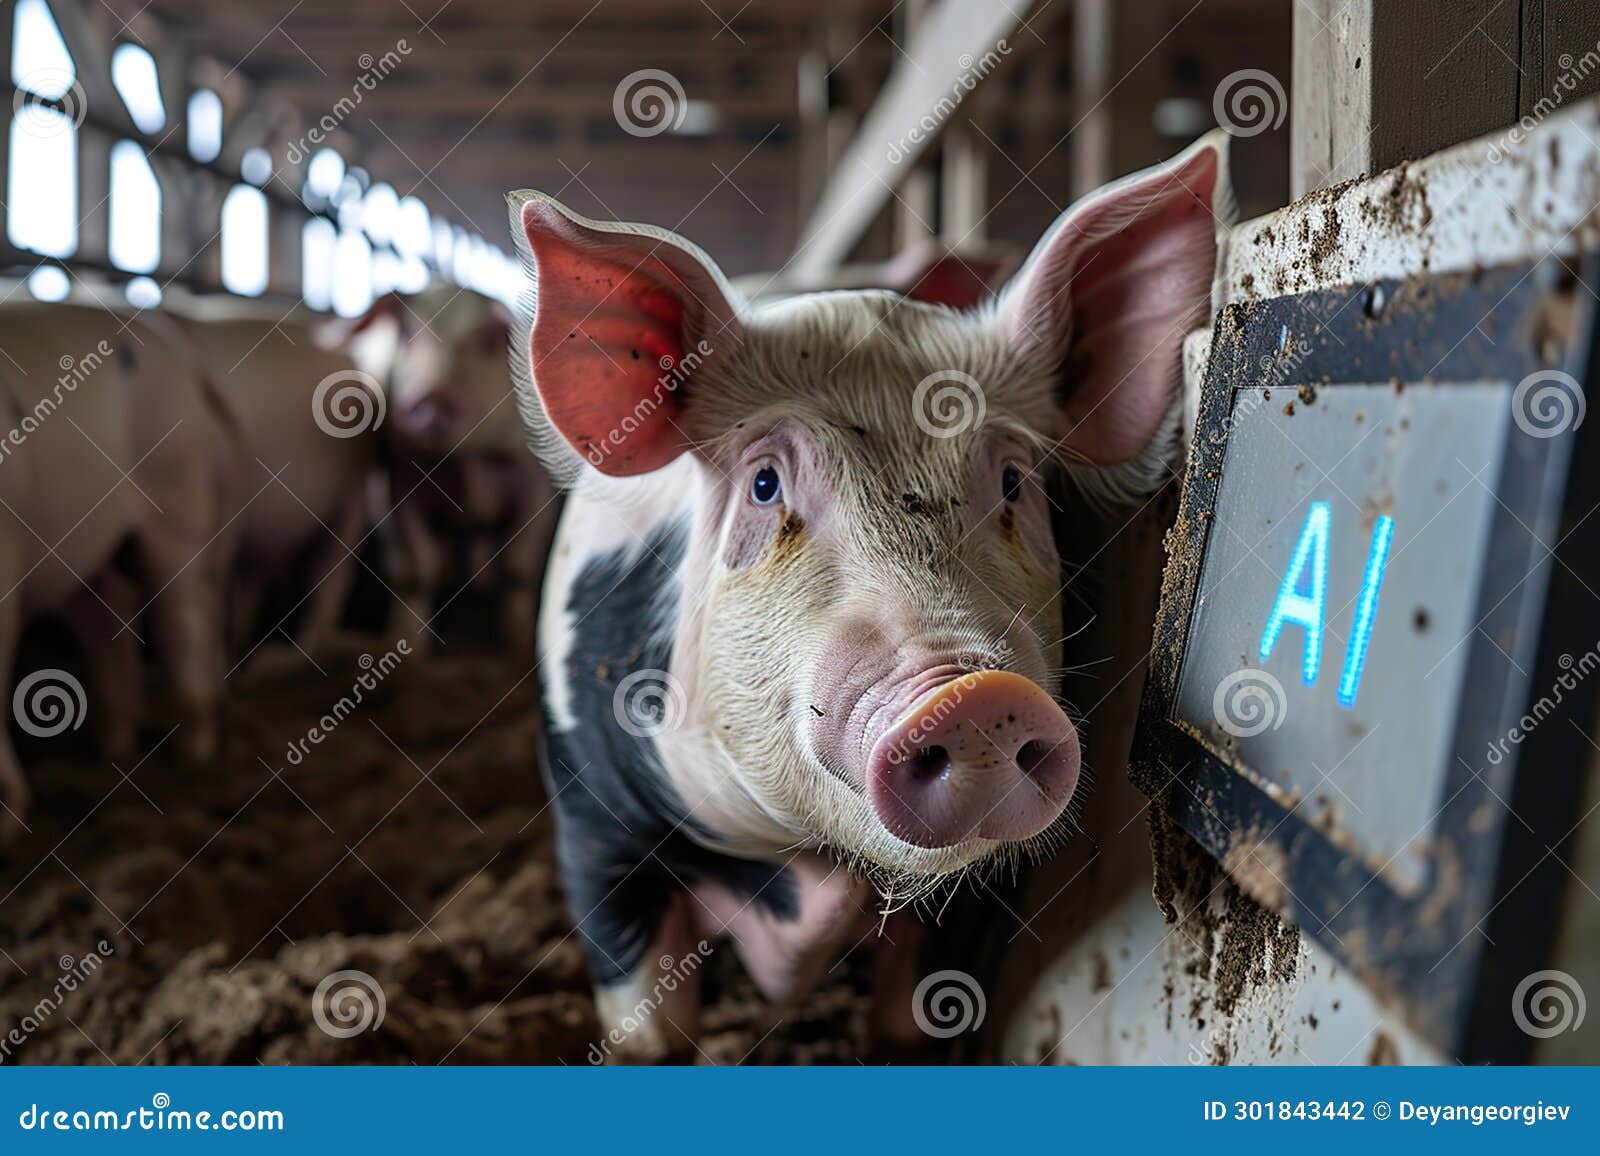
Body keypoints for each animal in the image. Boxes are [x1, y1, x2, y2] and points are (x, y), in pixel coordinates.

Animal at [0, 305, 245, 838]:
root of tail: (183, 354)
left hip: (177, 494)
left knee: (184, 618)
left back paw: (192, 756)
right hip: (91, 552)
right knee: (112, 623)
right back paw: (113, 754)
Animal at [343, 286, 560, 655]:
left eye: (487, 340)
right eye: (406, 333)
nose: (432, 397)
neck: (463, 462)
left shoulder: (536, 482)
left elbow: (517, 568)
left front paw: (518, 646)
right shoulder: (396, 483)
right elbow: (418, 571)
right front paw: (412, 650)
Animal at [509, 131, 1231, 1060]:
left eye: (1013, 483)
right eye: (766, 484)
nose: (973, 697)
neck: (803, 865)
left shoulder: (998, 888)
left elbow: (914, 1022)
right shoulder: (592, 819)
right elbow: (648, 1029)